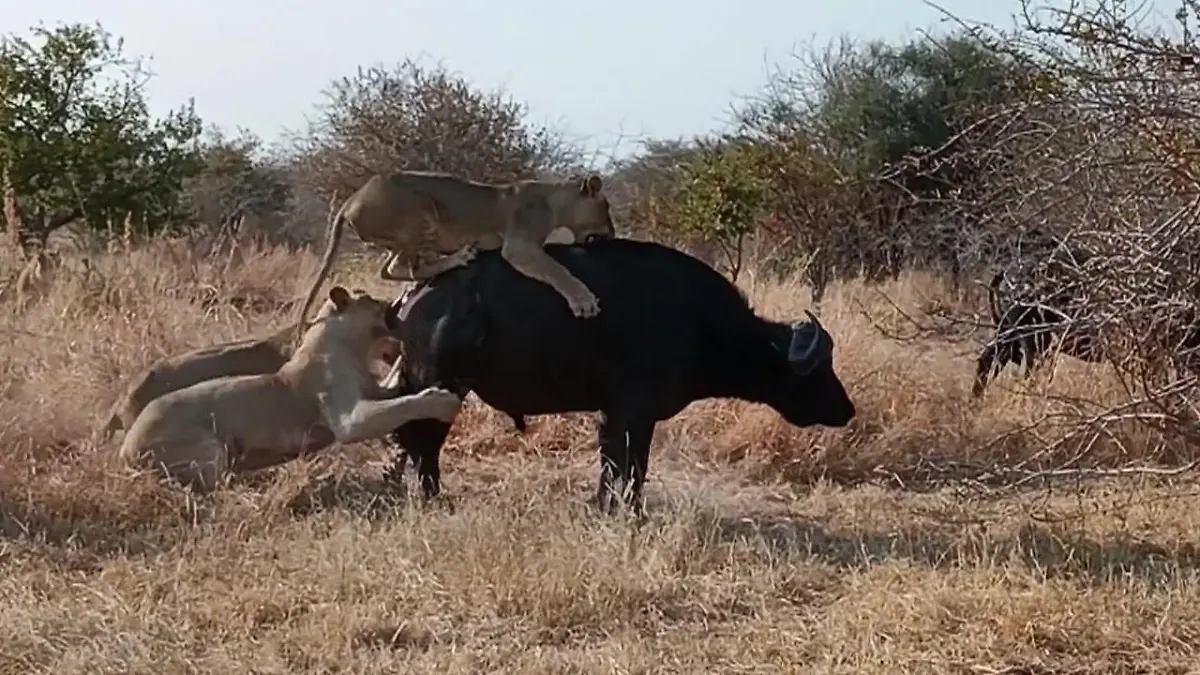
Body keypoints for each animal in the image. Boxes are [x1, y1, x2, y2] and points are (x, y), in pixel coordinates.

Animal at [379, 236, 859, 509]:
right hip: (441, 388)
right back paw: (433, 498)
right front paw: (630, 512)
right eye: (819, 371)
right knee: (423, 444)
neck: (701, 321)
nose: (848, 410)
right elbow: (631, 469)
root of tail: (418, 293)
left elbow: (617, 469)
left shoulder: (615, 417)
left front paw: (610, 507)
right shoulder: (634, 413)